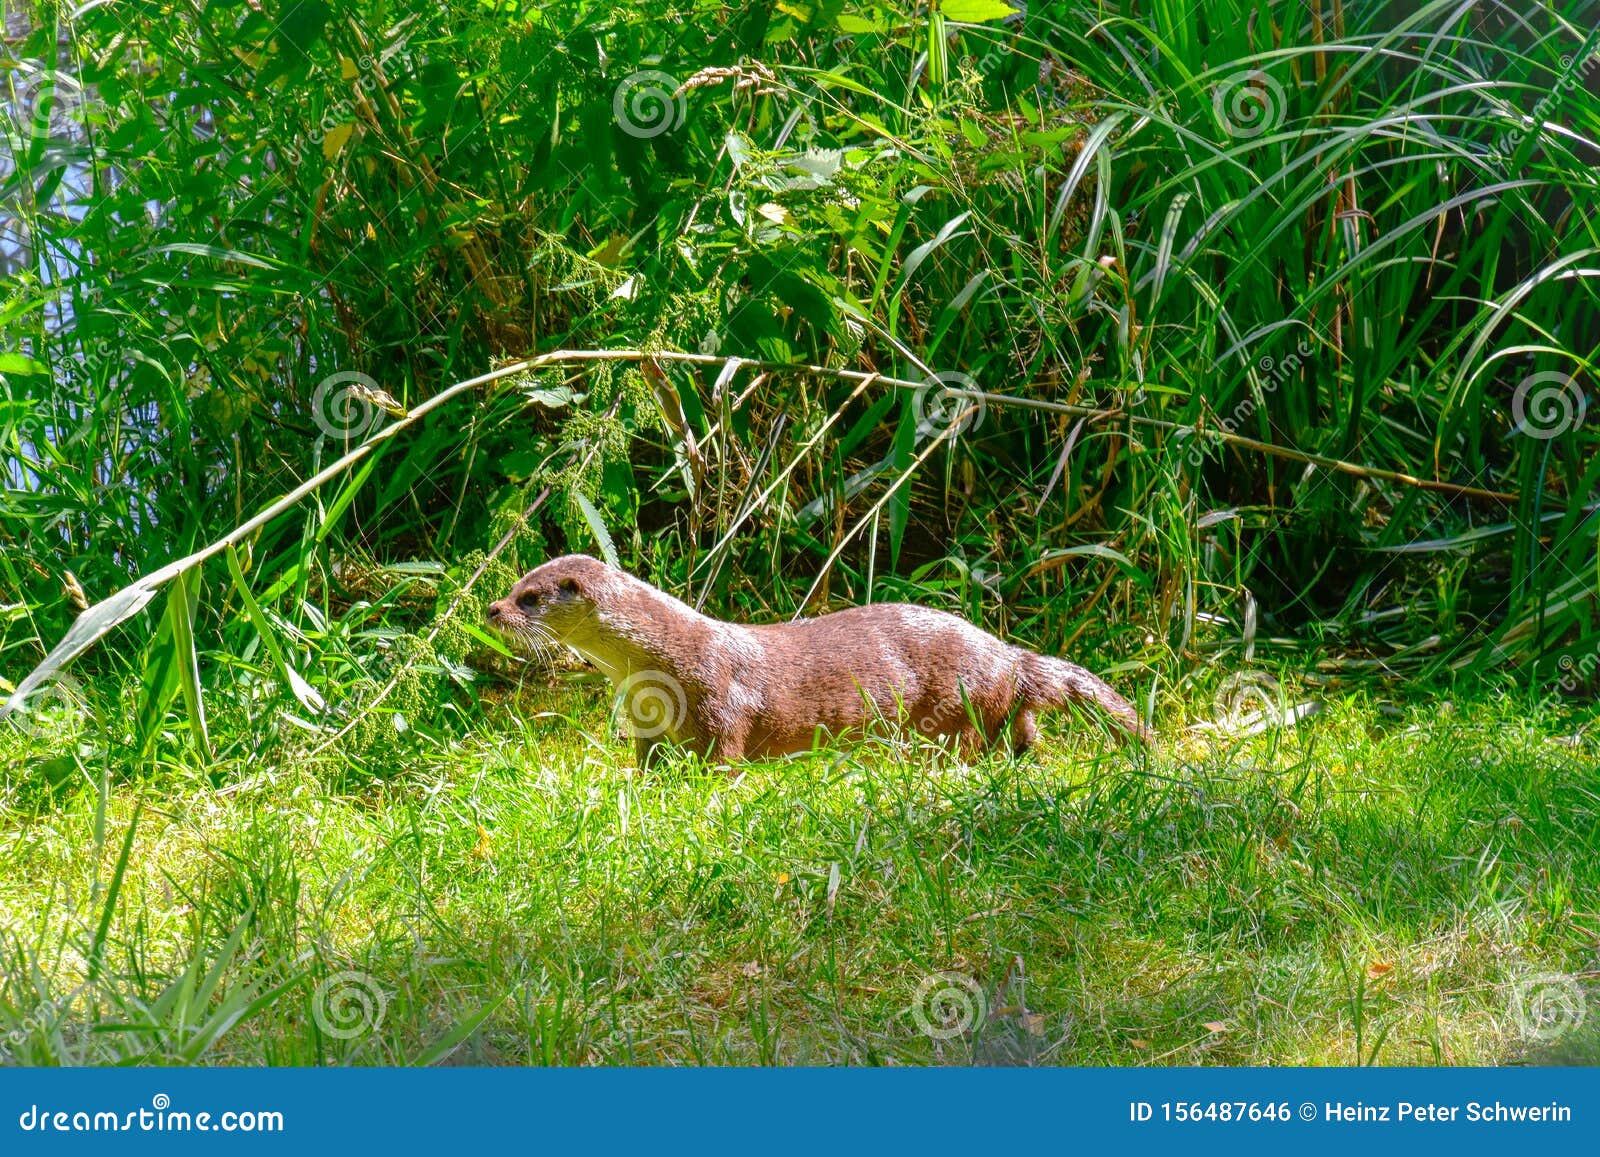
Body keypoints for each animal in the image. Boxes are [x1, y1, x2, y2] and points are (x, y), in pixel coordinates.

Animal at [486, 554, 1153, 766]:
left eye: (531, 597)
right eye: (515, 581)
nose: (492, 609)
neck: (661, 668)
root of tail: (1006, 655)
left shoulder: (721, 705)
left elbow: (724, 758)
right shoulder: (648, 723)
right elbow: (646, 762)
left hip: (954, 702)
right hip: (1006, 704)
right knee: (1025, 729)